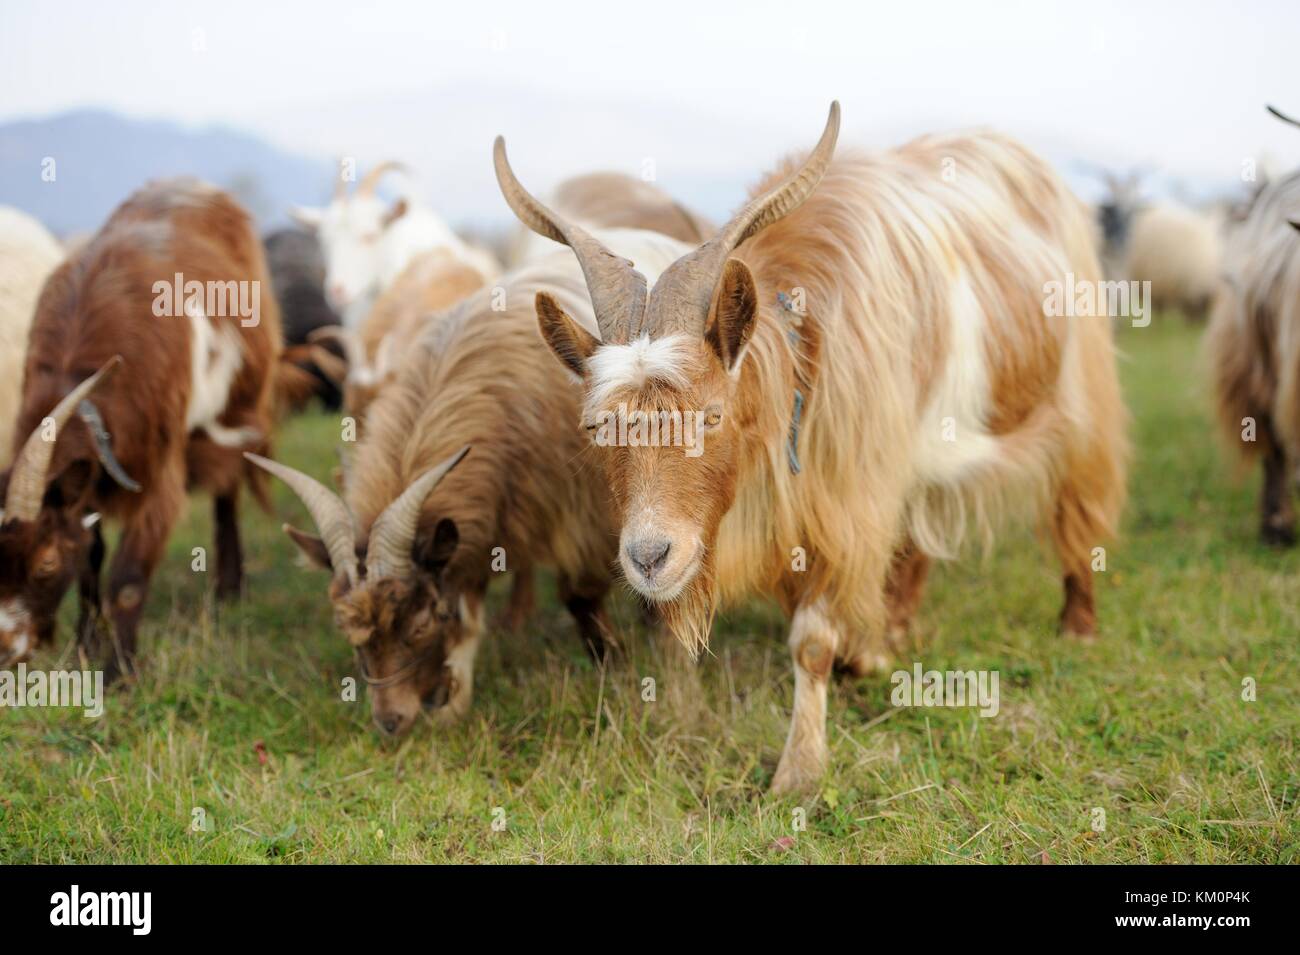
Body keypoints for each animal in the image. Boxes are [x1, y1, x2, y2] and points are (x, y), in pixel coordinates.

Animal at [0, 179, 281, 679]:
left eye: (46, 563)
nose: (4, 650)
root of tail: (190, 183)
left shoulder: (157, 467)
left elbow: (128, 577)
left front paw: (119, 674)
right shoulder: (90, 477)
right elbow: (90, 557)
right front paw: (85, 646)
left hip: (240, 405)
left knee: (228, 488)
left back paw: (229, 590)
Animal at [498, 102, 1128, 793]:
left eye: (712, 415)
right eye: (595, 427)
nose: (649, 557)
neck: (803, 353)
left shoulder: (849, 495)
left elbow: (811, 639)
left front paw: (798, 772)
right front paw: (864, 657)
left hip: (1082, 396)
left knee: (1080, 503)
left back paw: (1078, 624)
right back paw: (891, 634)